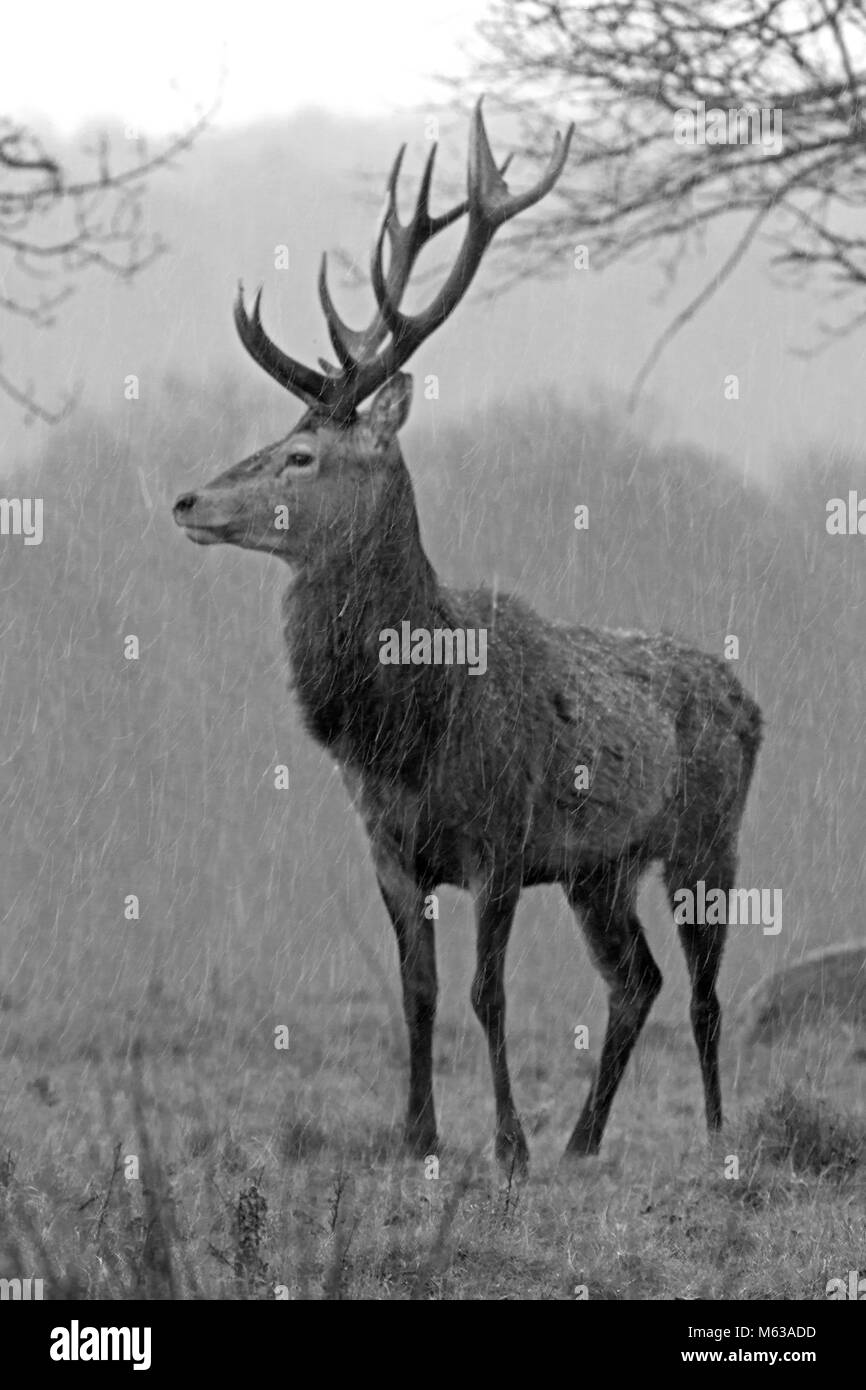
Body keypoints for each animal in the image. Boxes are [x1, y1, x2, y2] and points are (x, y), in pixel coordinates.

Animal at [173, 101, 762, 1179]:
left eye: (301, 454)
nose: (188, 499)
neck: (408, 726)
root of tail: (749, 698)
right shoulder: (390, 847)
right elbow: (420, 989)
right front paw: (418, 1137)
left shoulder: (501, 838)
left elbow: (490, 994)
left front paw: (507, 1146)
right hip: (600, 868)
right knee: (637, 980)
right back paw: (583, 1142)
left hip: (708, 837)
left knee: (701, 990)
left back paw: (708, 1135)